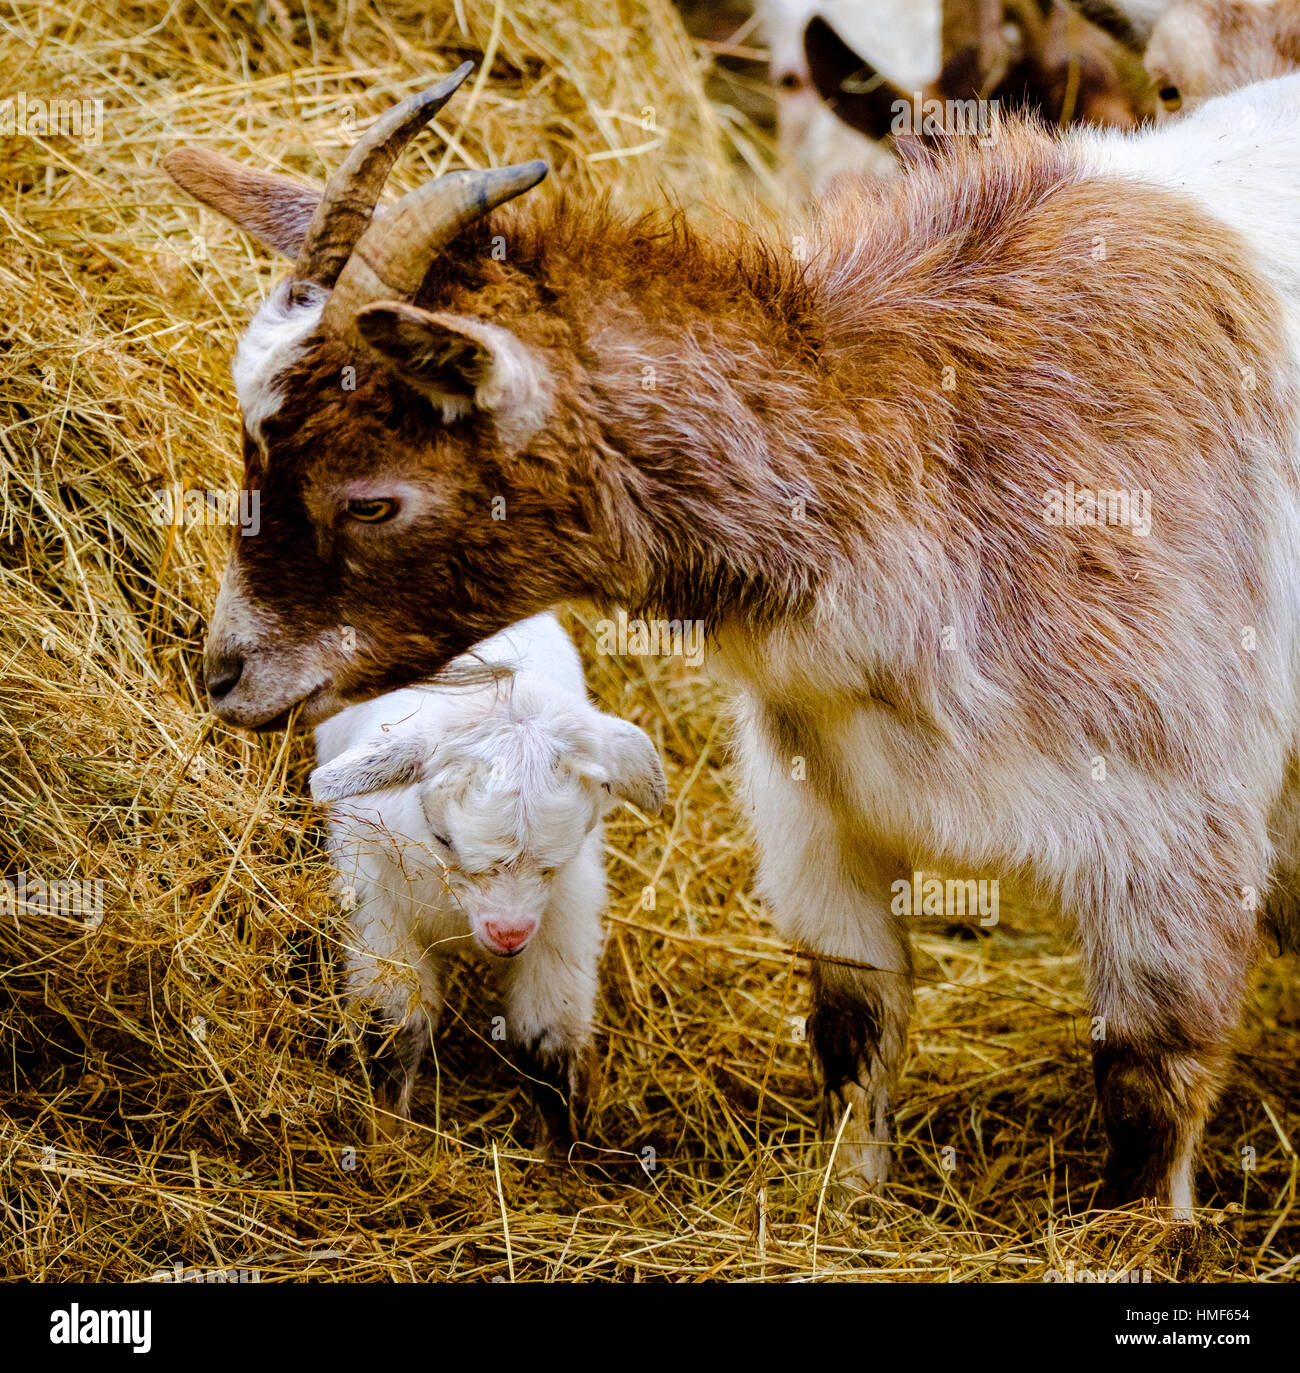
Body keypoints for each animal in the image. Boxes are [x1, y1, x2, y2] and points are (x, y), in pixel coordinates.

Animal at [310, 610, 665, 1139]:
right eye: (443, 838)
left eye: (558, 858)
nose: (508, 933)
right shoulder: (375, 903)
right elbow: (397, 1022)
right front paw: (387, 1134)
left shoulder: (563, 919)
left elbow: (547, 1036)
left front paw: (561, 1143)